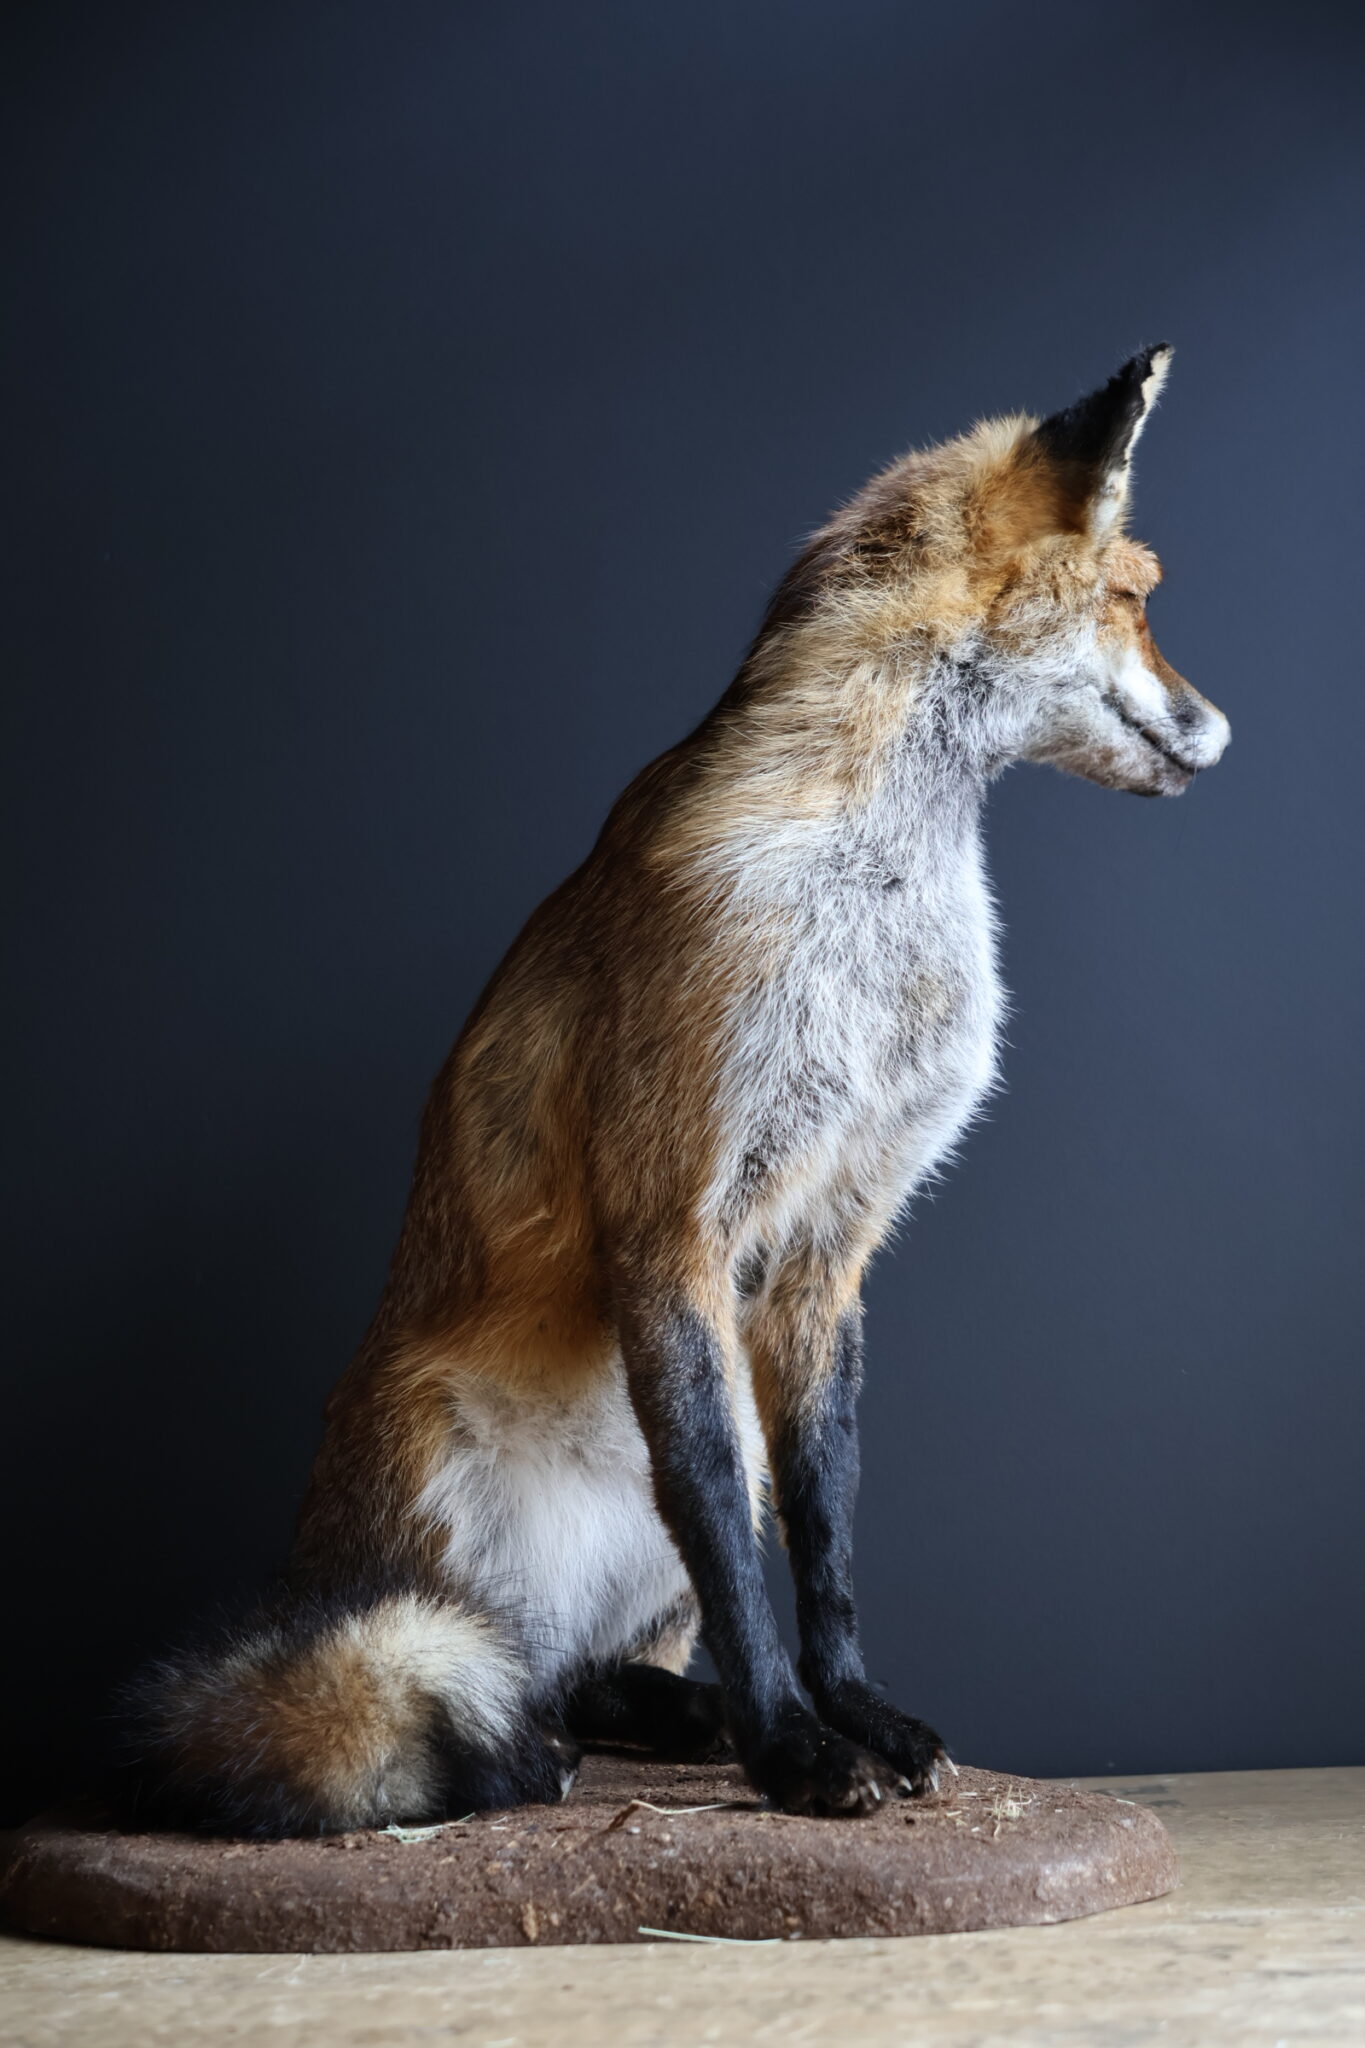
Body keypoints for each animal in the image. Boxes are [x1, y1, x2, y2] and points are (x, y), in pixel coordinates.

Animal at [126, 347, 1229, 1833]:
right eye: (1136, 600)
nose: (1223, 731)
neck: (871, 899)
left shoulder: (829, 1243)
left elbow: (823, 1533)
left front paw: (850, 1708)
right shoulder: (676, 1222)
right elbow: (724, 1534)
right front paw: (794, 1747)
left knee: (595, 1668)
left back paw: (674, 1711)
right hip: (434, 1486)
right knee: (497, 1672)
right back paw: (585, 1734)